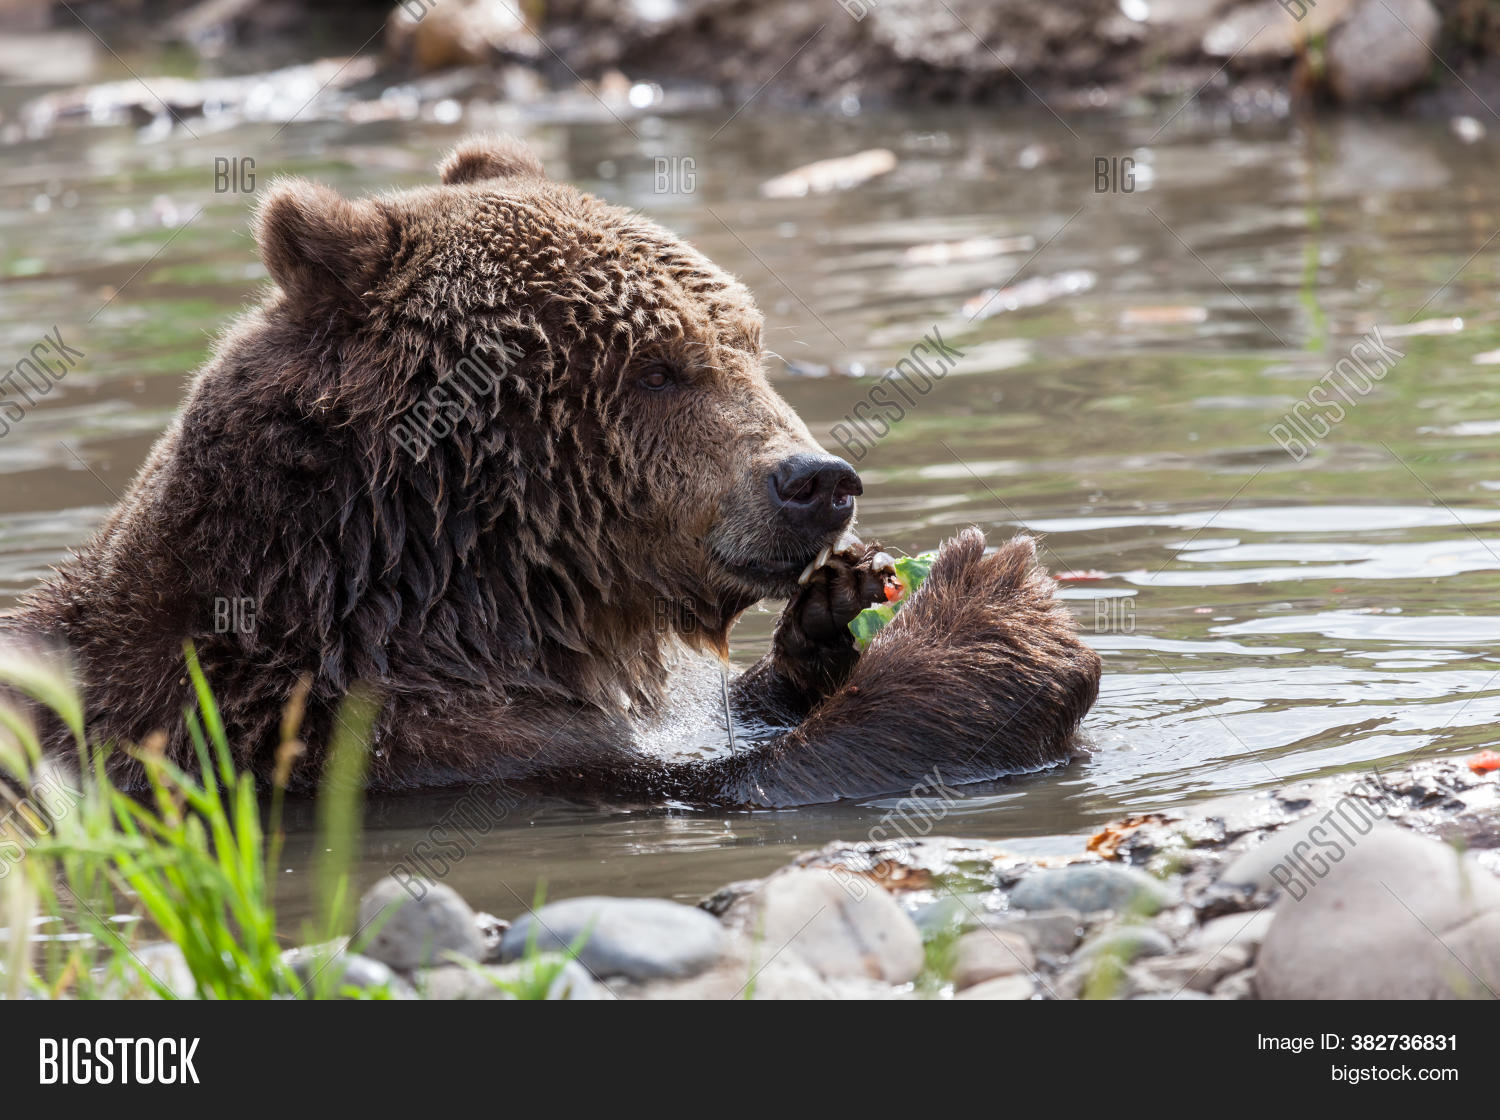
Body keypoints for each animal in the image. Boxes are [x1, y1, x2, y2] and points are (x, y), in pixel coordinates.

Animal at [0, 135, 1100, 807]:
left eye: (747, 340)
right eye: (657, 365)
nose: (817, 479)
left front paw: (833, 615)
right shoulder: (399, 740)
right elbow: (736, 784)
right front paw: (991, 609)